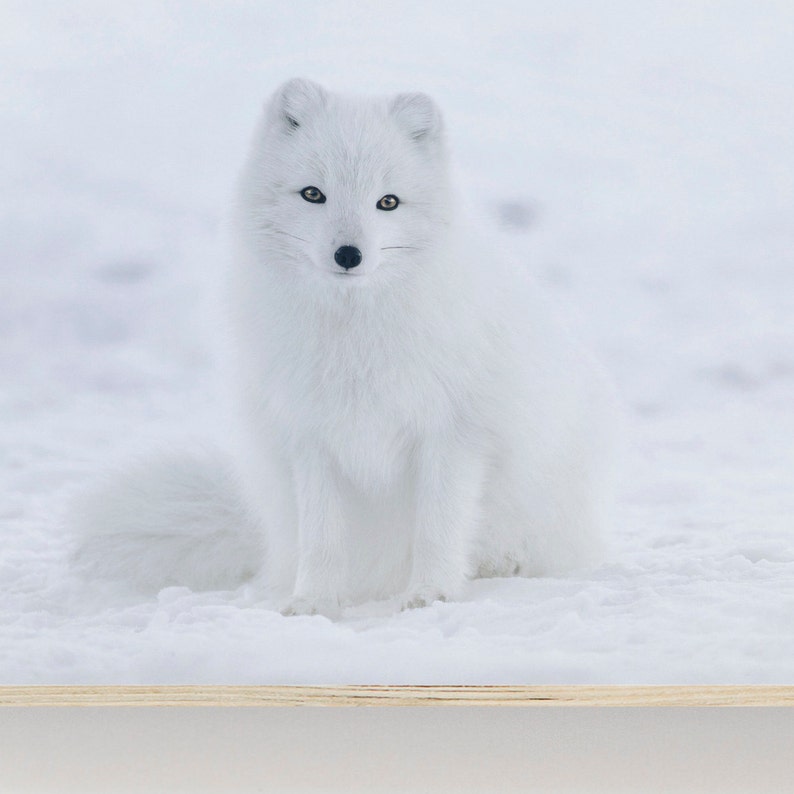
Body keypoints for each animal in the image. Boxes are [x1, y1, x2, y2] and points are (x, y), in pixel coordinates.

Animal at [72, 78, 617, 618]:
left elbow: (438, 527)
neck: (354, 337)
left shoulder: (453, 433)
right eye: (314, 194)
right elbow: (323, 538)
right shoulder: (311, 437)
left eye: (388, 202)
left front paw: (432, 594)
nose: (348, 254)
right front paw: (314, 602)